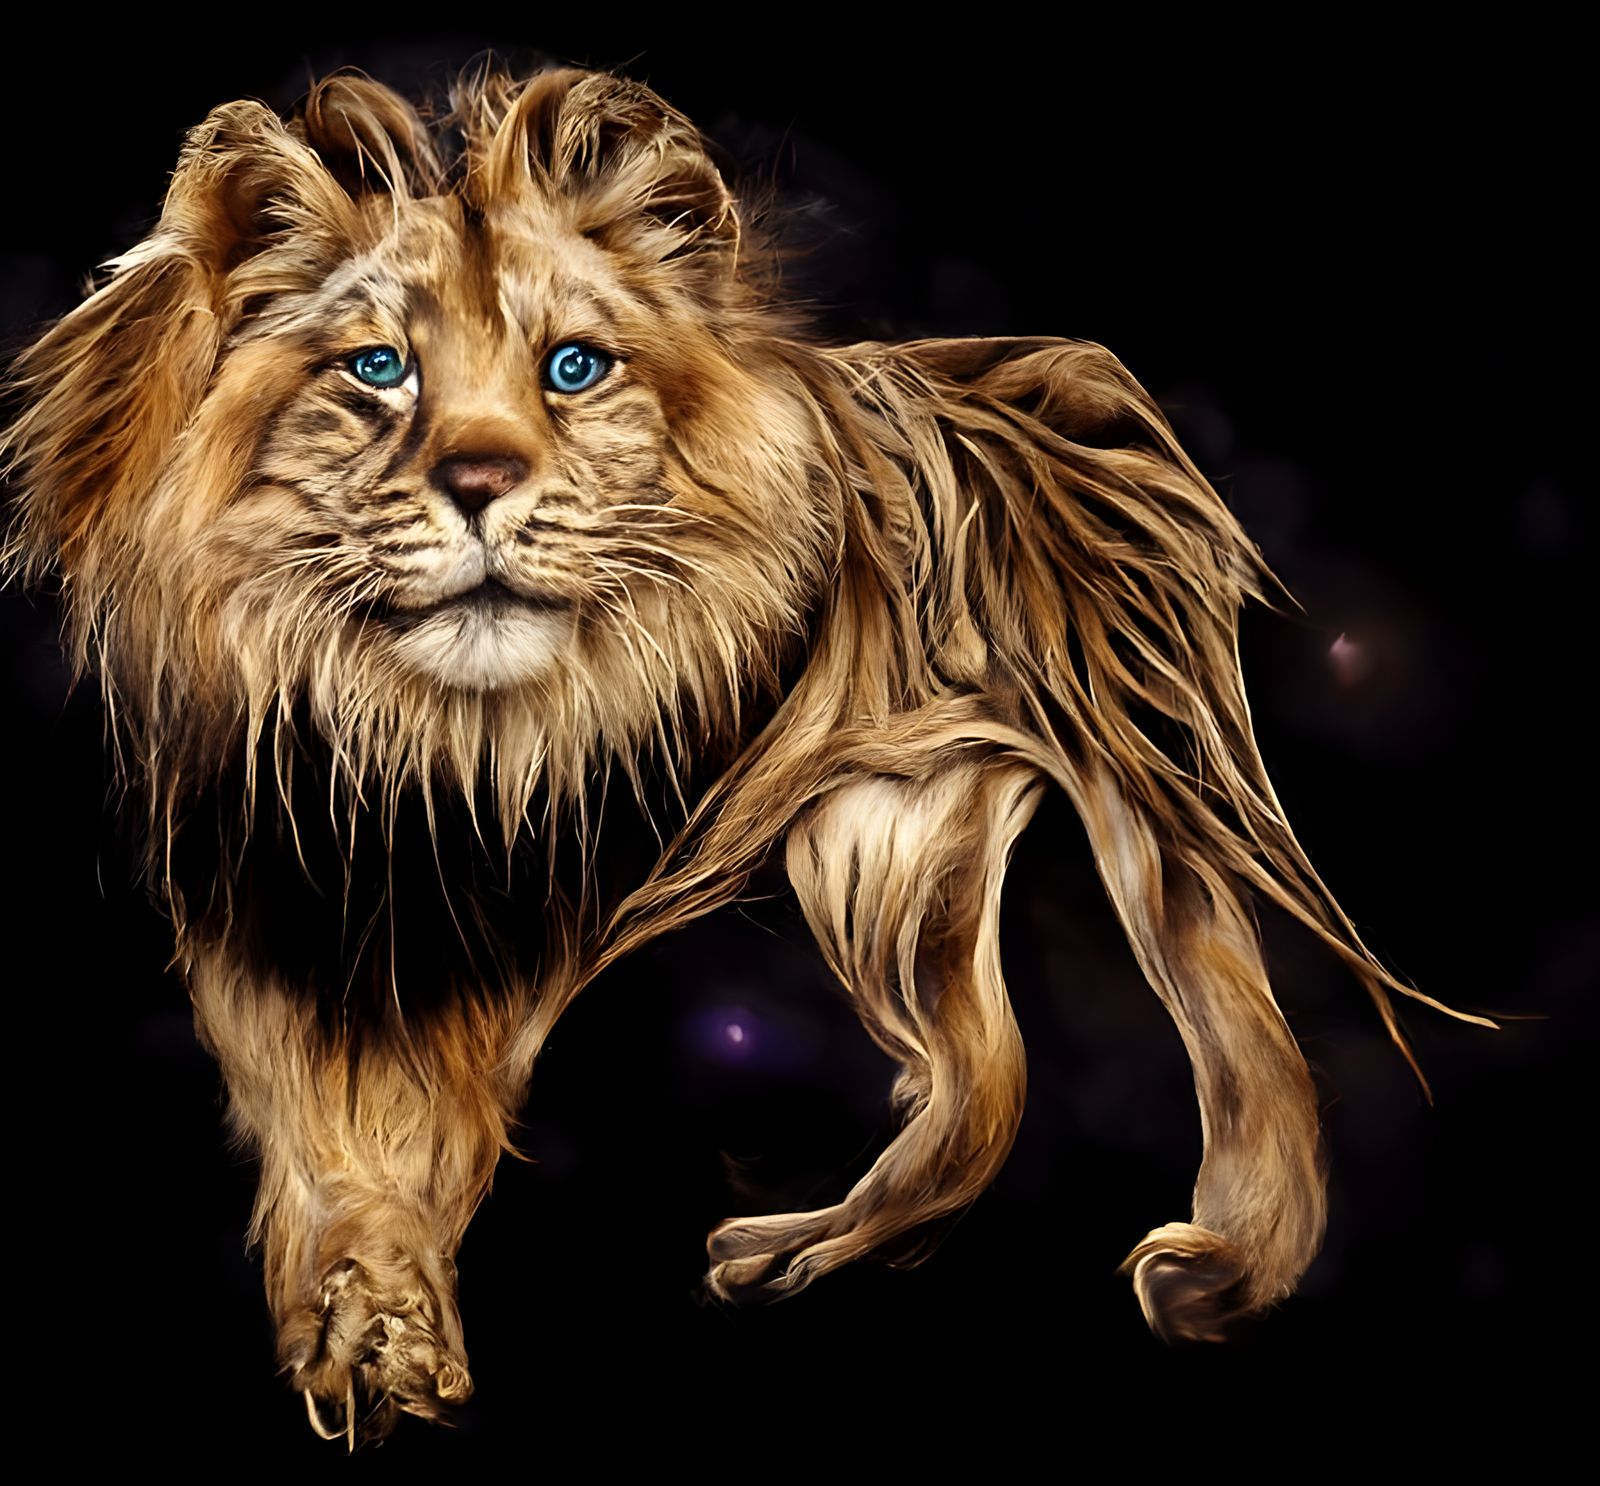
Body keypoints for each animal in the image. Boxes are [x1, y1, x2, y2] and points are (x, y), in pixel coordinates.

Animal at [1, 62, 1492, 1445]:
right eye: (378, 369)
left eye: (574, 367)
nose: (480, 480)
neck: (416, 733)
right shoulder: (264, 920)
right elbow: (324, 1156)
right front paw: (357, 1330)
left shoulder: (505, 934)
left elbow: (418, 1135)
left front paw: (396, 1335)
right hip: (894, 834)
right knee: (985, 1075)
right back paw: (804, 1252)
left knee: (1175, 1041)